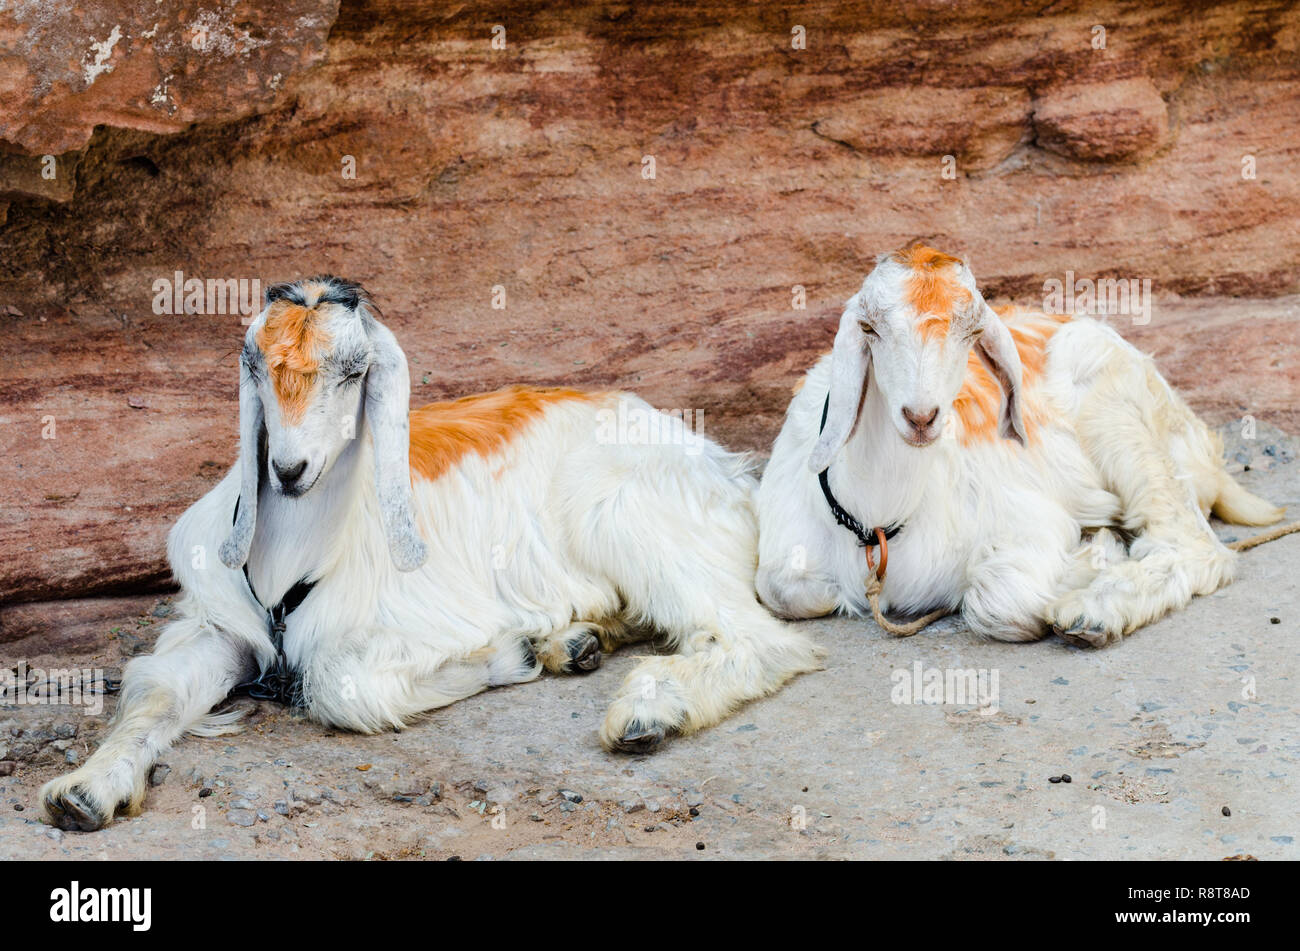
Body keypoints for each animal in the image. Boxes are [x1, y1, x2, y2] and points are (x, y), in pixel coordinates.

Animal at [41, 277, 820, 831]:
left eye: (353, 372)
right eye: (257, 369)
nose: (289, 470)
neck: (298, 558)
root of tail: (723, 464)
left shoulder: (408, 629)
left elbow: (342, 686)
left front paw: (514, 653)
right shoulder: (218, 625)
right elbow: (157, 691)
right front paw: (82, 793)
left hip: (630, 518)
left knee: (756, 639)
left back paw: (644, 714)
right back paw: (574, 642)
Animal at [756, 245, 1285, 644]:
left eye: (971, 333)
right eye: (869, 328)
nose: (921, 417)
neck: (879, 518)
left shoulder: (1030, 521)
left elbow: (1001, 603)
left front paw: (1096, 554)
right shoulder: (785, 558)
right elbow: (782, 590)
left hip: (1123, 420)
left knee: (1195, 545)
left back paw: (1093, 613)